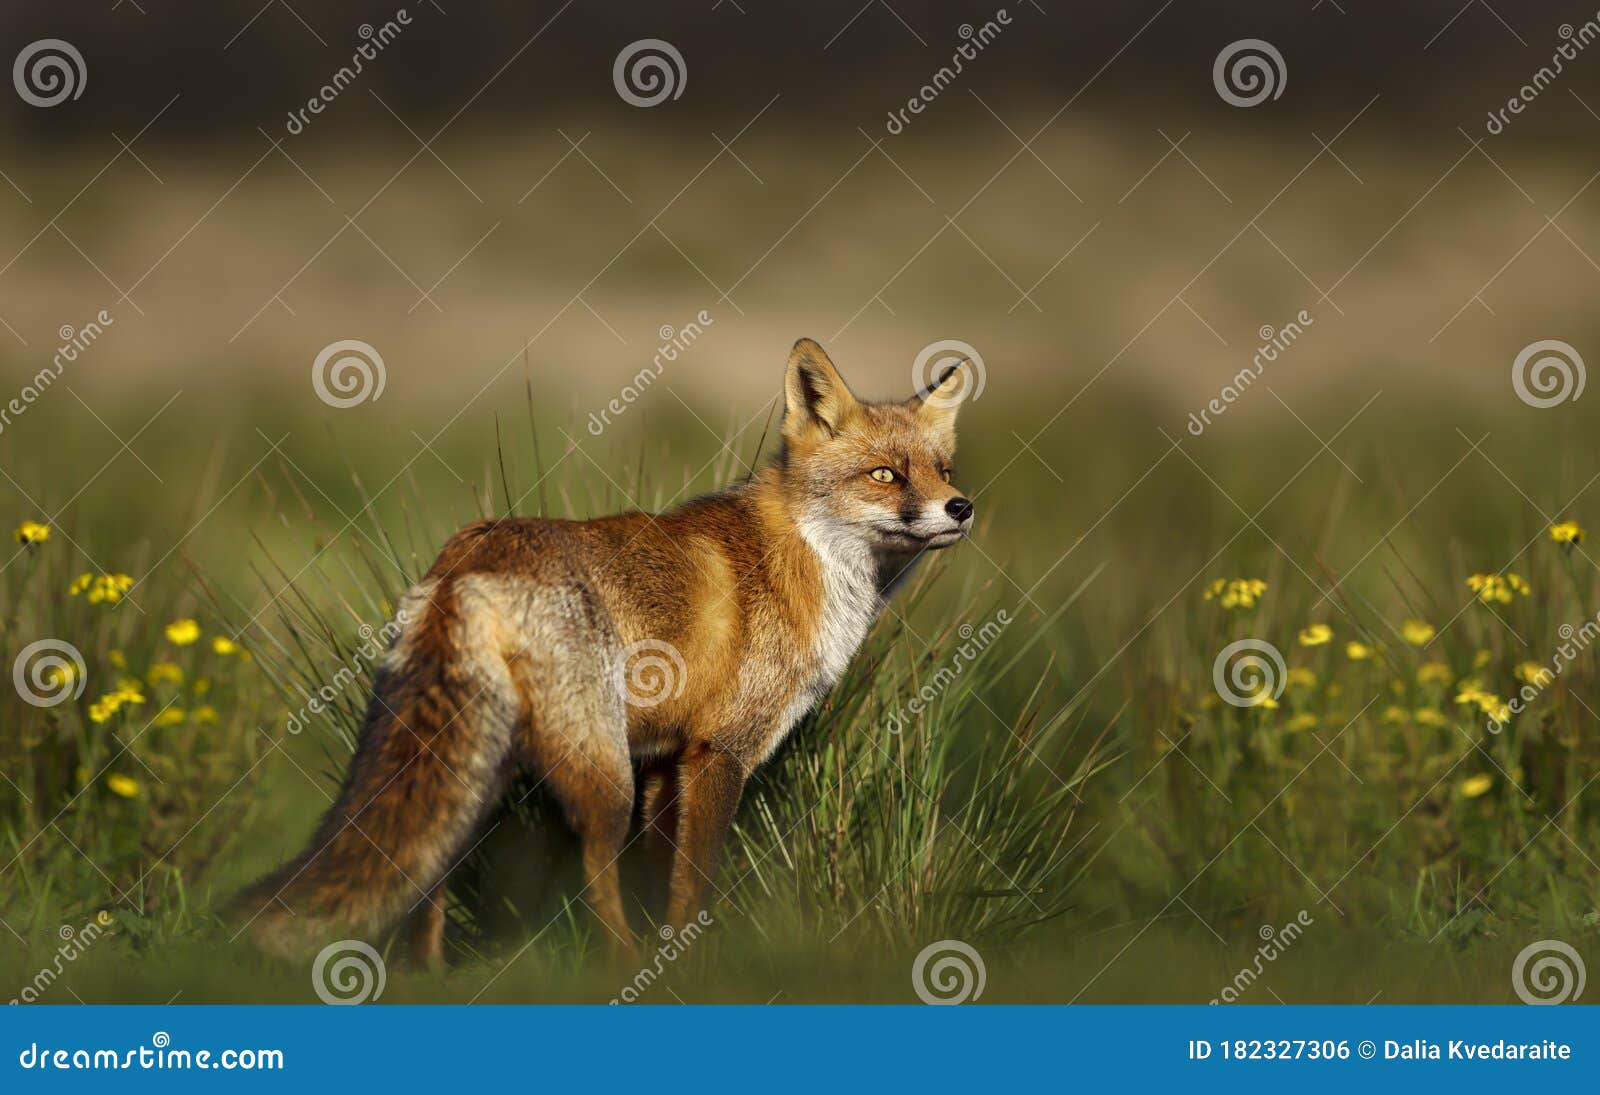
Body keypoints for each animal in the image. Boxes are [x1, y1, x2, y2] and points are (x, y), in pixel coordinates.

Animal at [236, 338, 974, 964]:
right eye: (885, 474)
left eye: (942, 471)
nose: (961, 507)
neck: (798, 559)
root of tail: (466, 556)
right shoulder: (717, 752)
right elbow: (692, 883)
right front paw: (684, 967)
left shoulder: (665, 762)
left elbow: (659, 881)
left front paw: (666, 953)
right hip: (602, 771)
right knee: (590, 864)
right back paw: (614, 963)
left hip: (488, 768)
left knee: (431, 867)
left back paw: (429, 976)